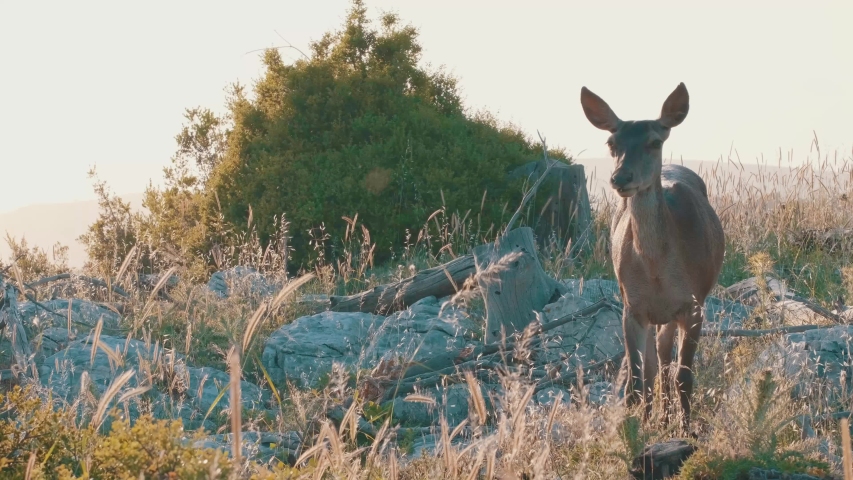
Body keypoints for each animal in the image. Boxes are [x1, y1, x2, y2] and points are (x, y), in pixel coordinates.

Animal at [579, 83, 725, 432]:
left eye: (654, 142)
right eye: (611, 143)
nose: (621, 178)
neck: (659, 270)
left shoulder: (694, 303)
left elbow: (685, 376)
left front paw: (686, 430)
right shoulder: (632, 306)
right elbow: (635, 379)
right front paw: (639, 427)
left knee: (665, 359)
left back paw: (667, 415)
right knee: (654, 364)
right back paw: (656, 415)